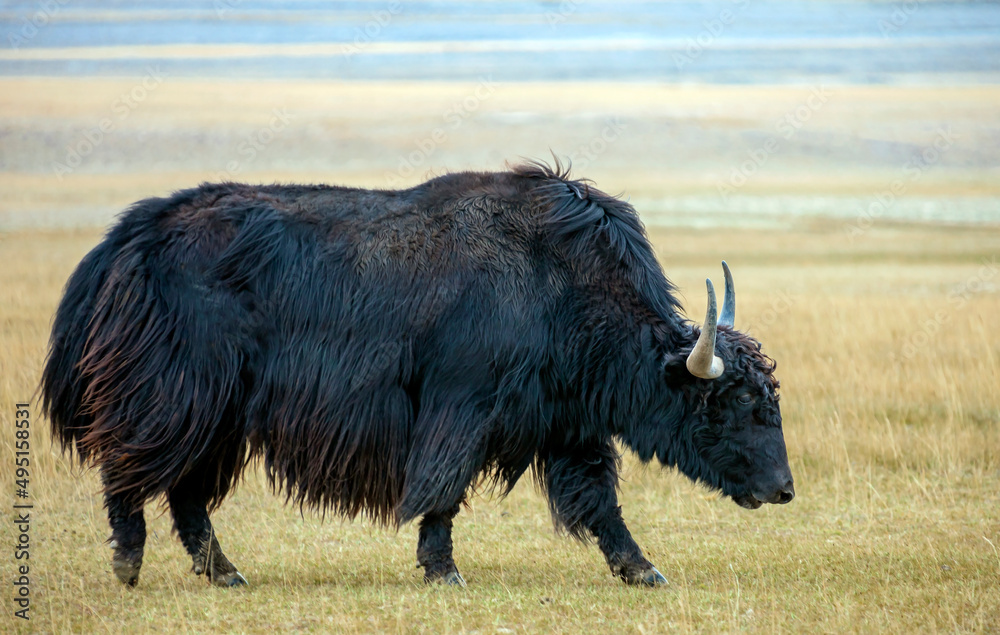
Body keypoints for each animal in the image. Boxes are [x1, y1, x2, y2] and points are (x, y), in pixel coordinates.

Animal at [41, 161, 793, 589]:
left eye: (769, 397)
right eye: (735, 402)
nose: (784, 489)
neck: (561, 285)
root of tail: (130, 235)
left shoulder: (564, 422)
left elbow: (599, 503)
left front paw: (643, 569)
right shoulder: (464, 403)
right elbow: (443, 488)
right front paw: (443, 571)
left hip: (220, 416)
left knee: (184, 492)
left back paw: (226, 574)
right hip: (182, 395)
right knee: (131, 471)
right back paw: (130, 567)